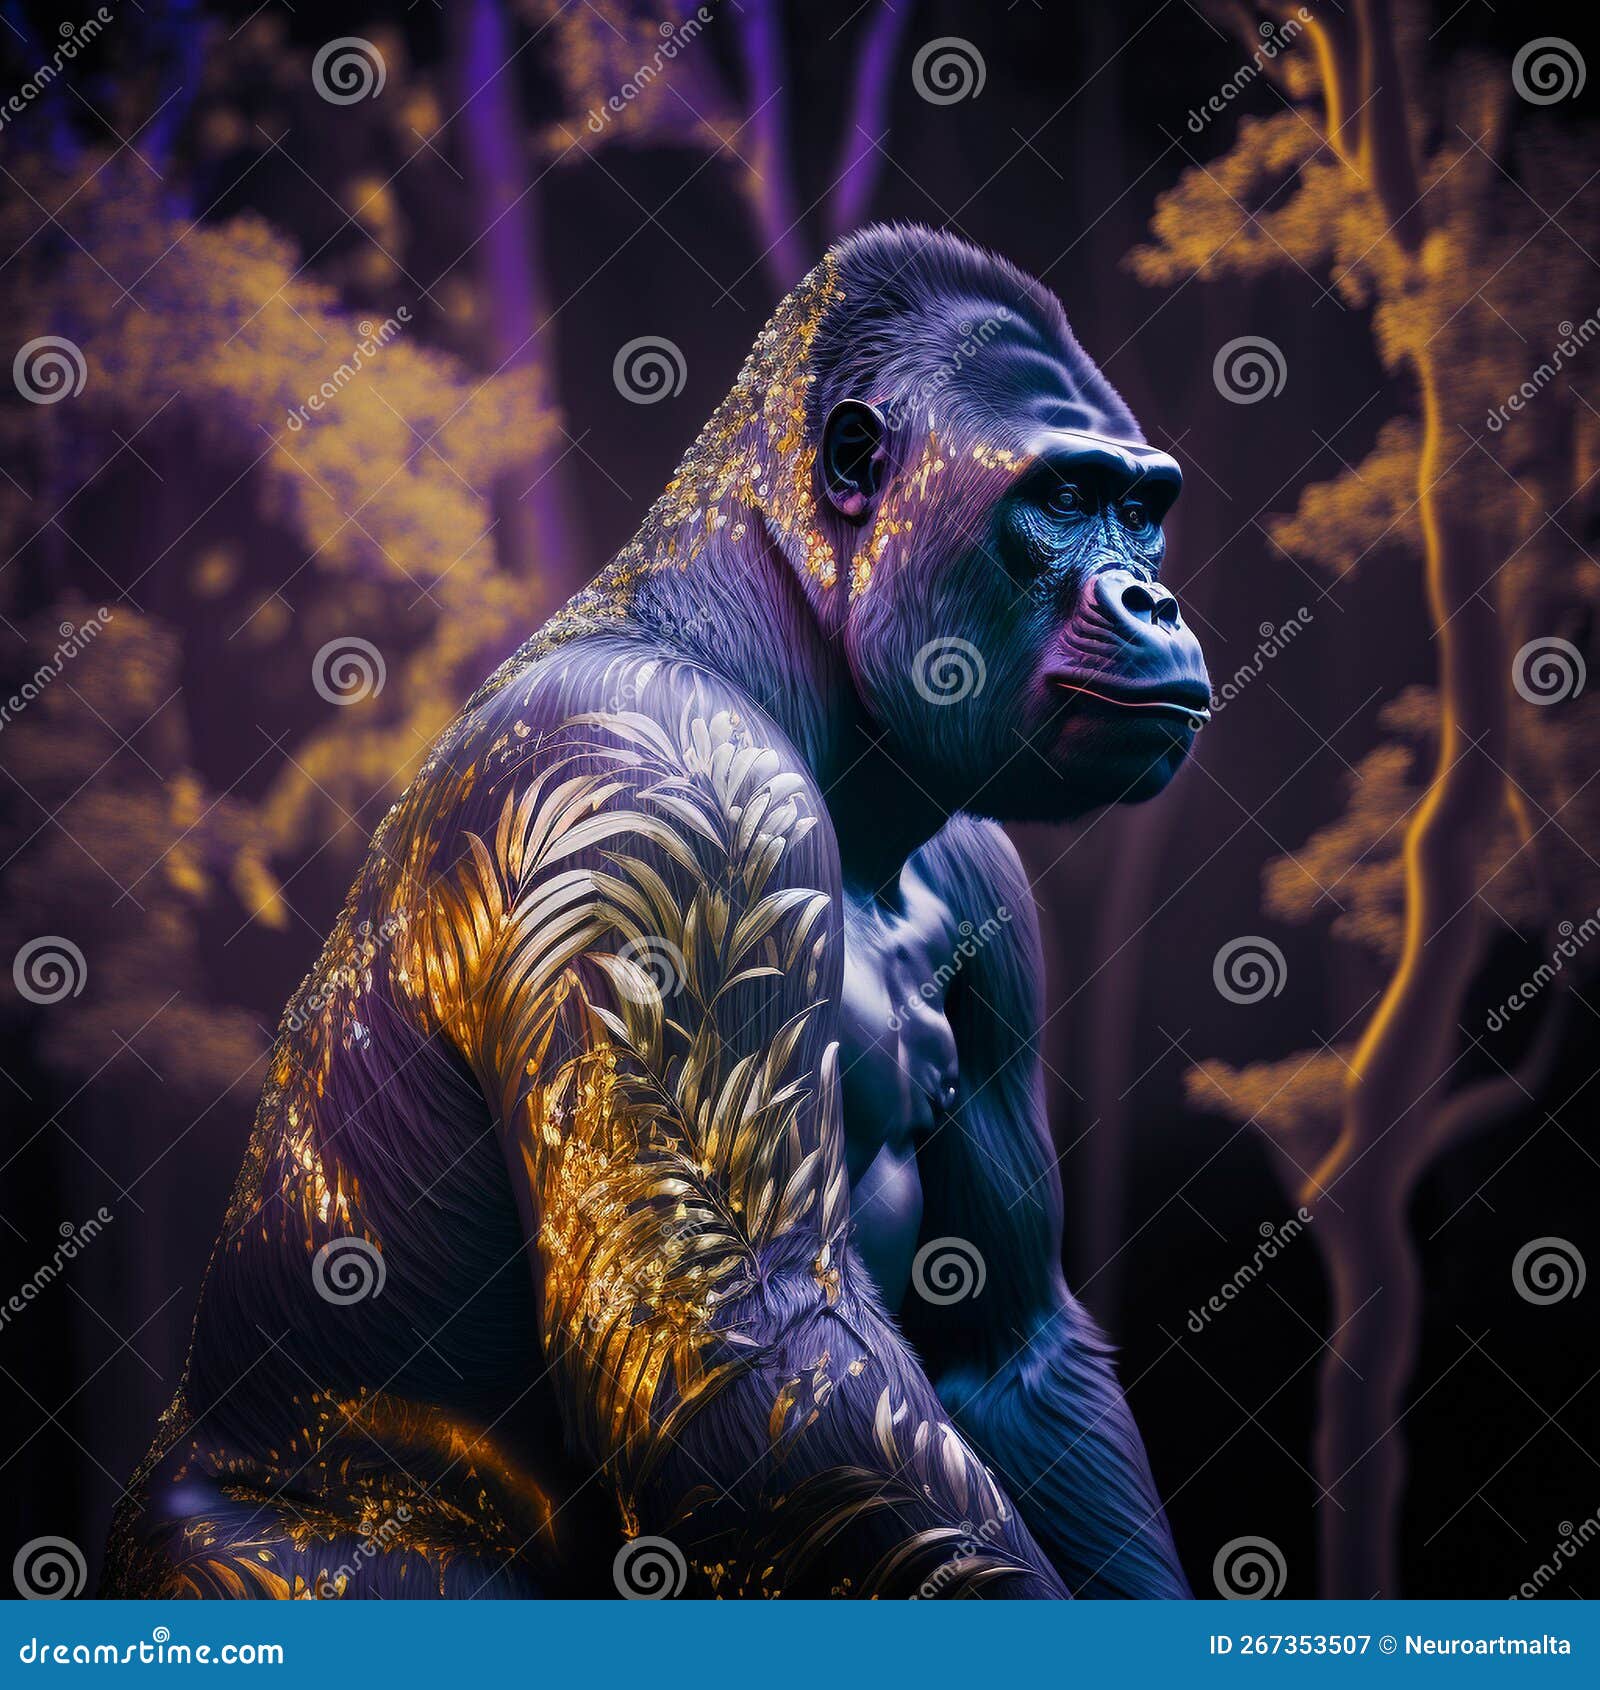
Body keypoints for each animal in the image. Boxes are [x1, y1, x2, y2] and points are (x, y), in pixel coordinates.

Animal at [105, 224, 1206, 1600]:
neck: (783, 660)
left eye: (1142, 511)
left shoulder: (984, 894)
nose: (1153, 599)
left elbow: (1012, 1344)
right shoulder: (670, 806)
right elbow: (747, 1358)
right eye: (1061, 497)